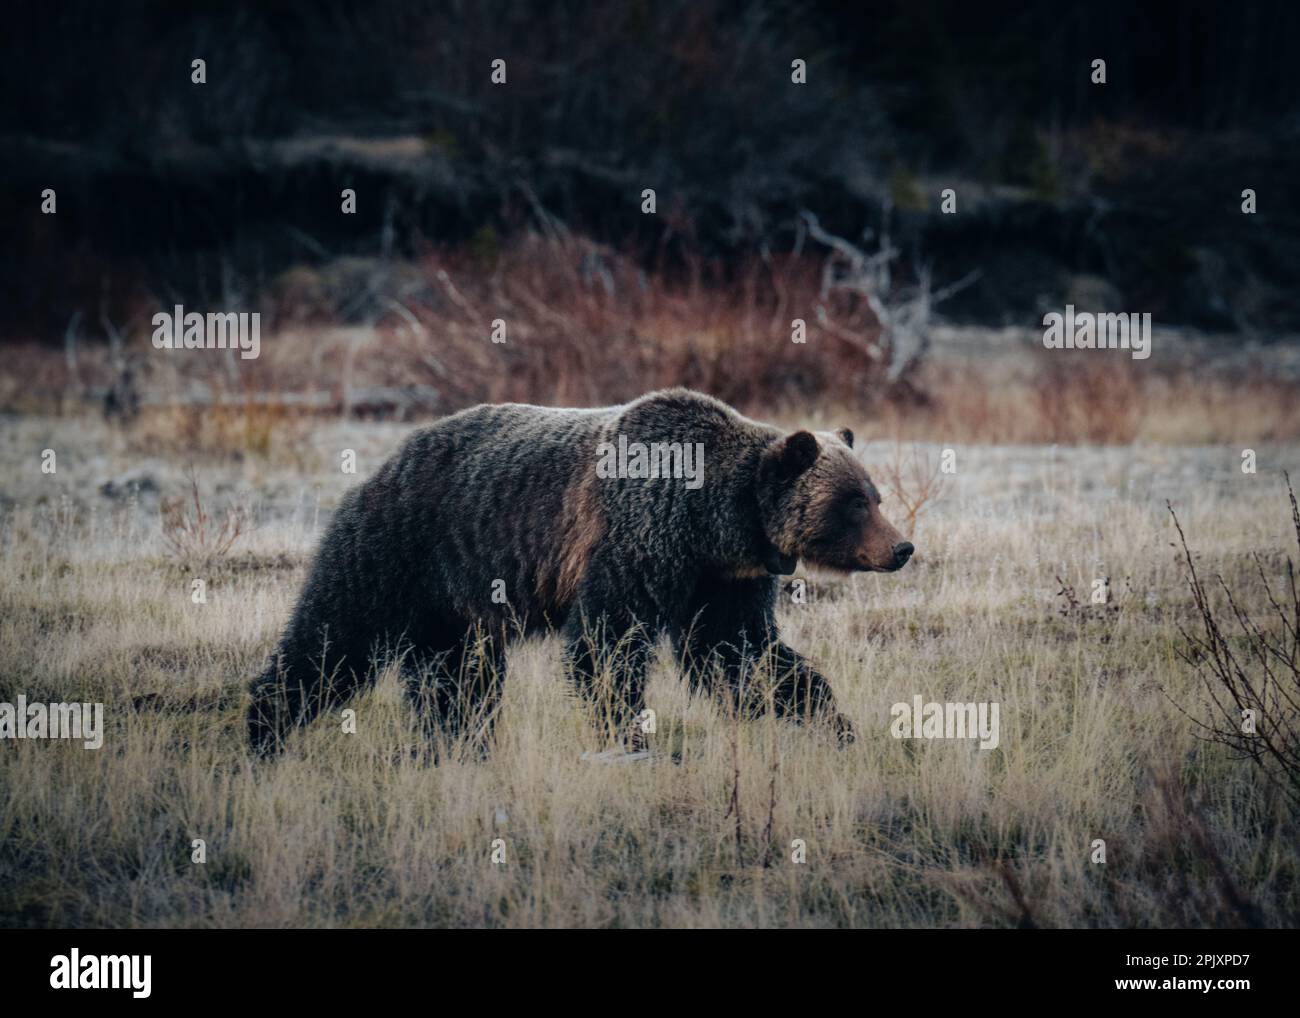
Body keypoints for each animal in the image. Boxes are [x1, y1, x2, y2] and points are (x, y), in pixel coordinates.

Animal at [246, 387, 914, 757]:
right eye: (854, 502)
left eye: (874, 495)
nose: (902, 547)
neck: (714, 522)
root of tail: (387, 462)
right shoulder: (636, 543)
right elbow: (606, 648)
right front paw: (633, 739)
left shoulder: (722, 581)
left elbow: (742, 654)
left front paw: (830, 723)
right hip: (400, 548)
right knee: (334, 638)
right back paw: (263, 728)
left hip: (456, 604)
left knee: (458, 678)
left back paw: (458, 743)